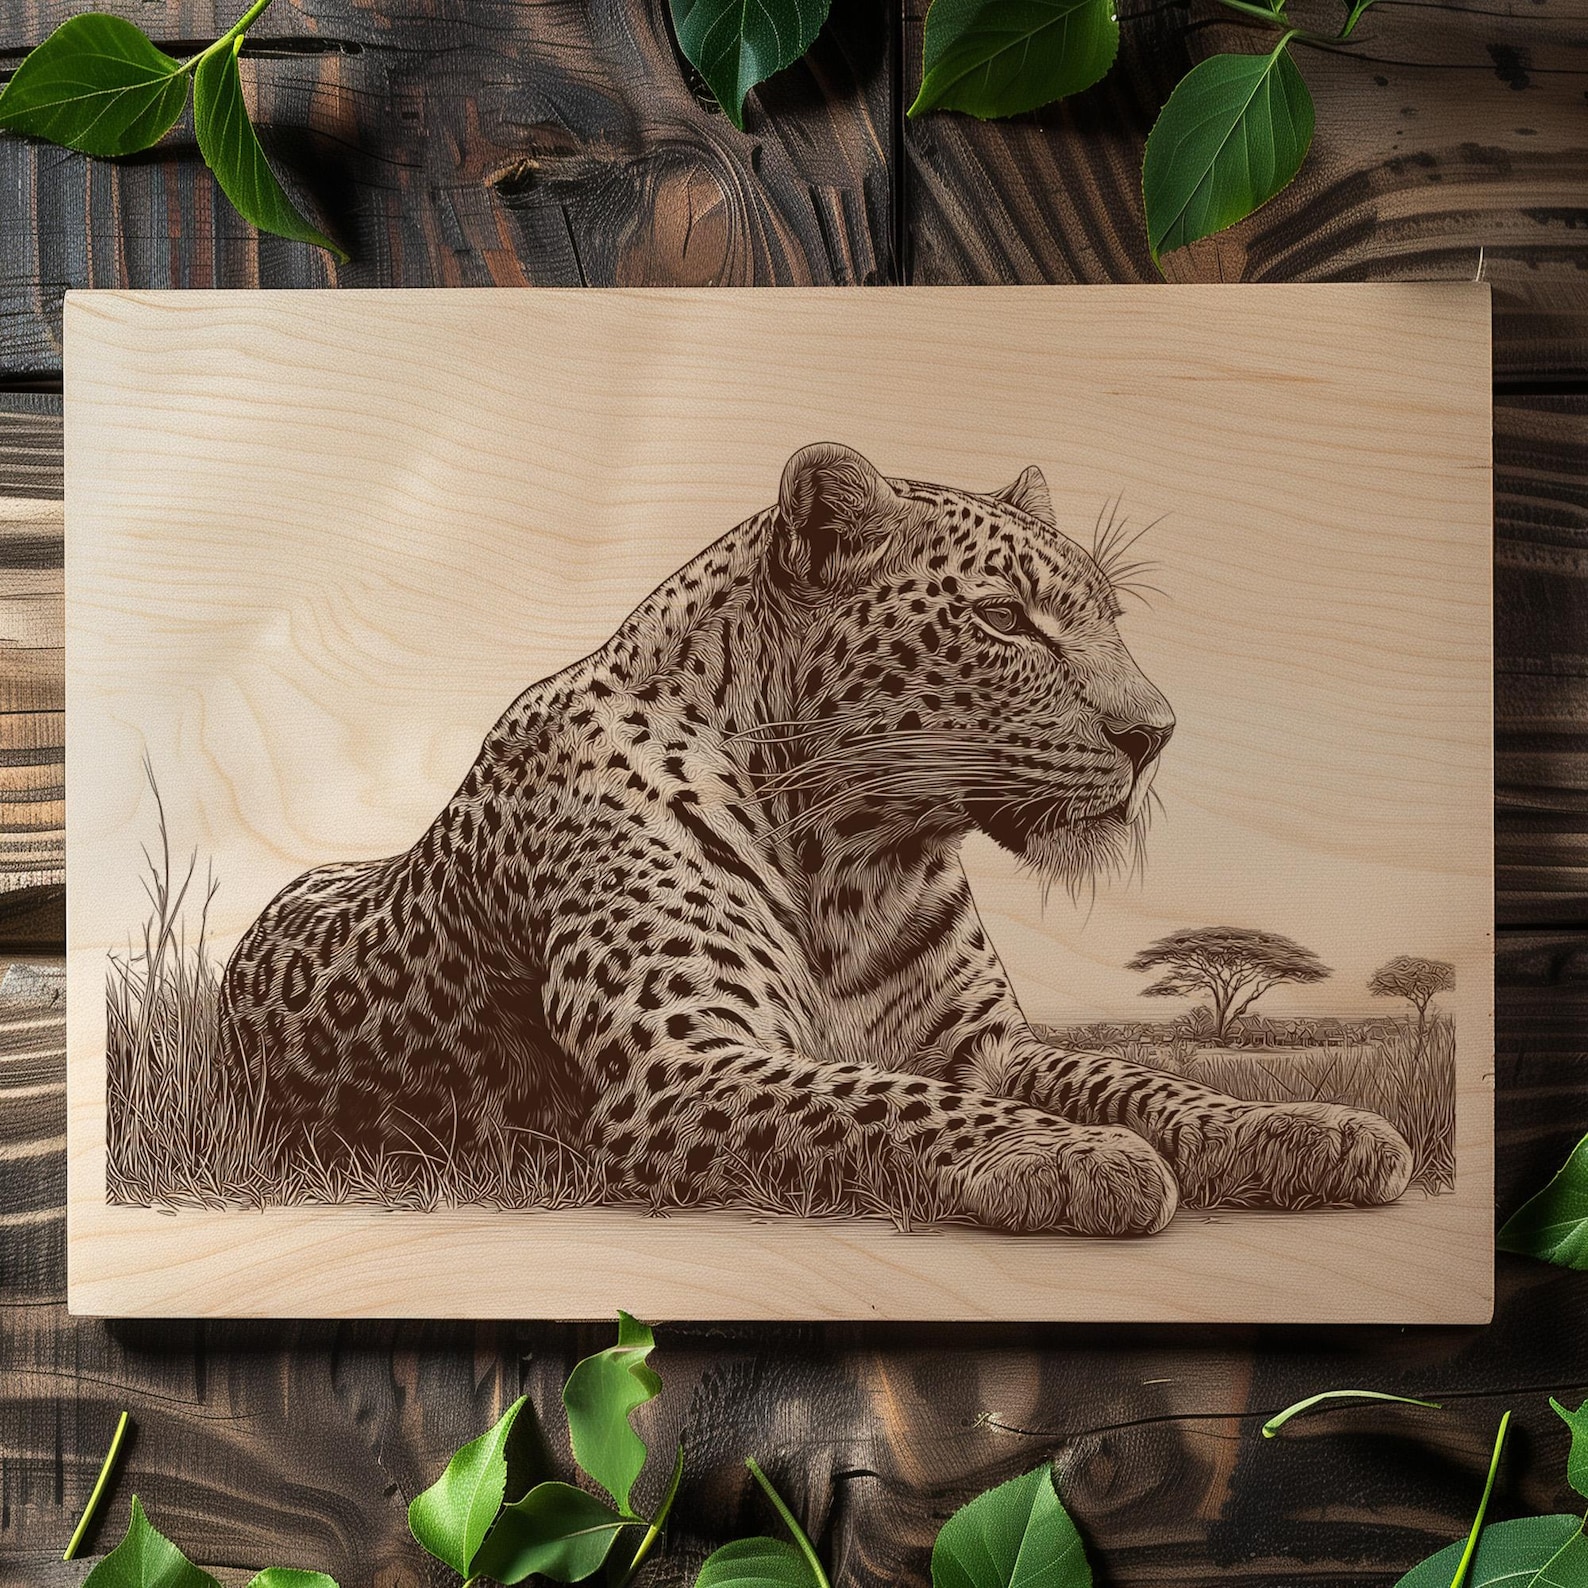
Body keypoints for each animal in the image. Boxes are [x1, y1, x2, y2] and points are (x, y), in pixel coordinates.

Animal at [217, 442, 1414, 1235]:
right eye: (1002, 620)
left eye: (1109, 616)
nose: (1155, 734)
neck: (856, 856)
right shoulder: (683, 1065)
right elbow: (884, 1098)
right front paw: (1067, 1154)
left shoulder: (987, 1044)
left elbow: (1137, 1076)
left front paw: (1299, 1129)